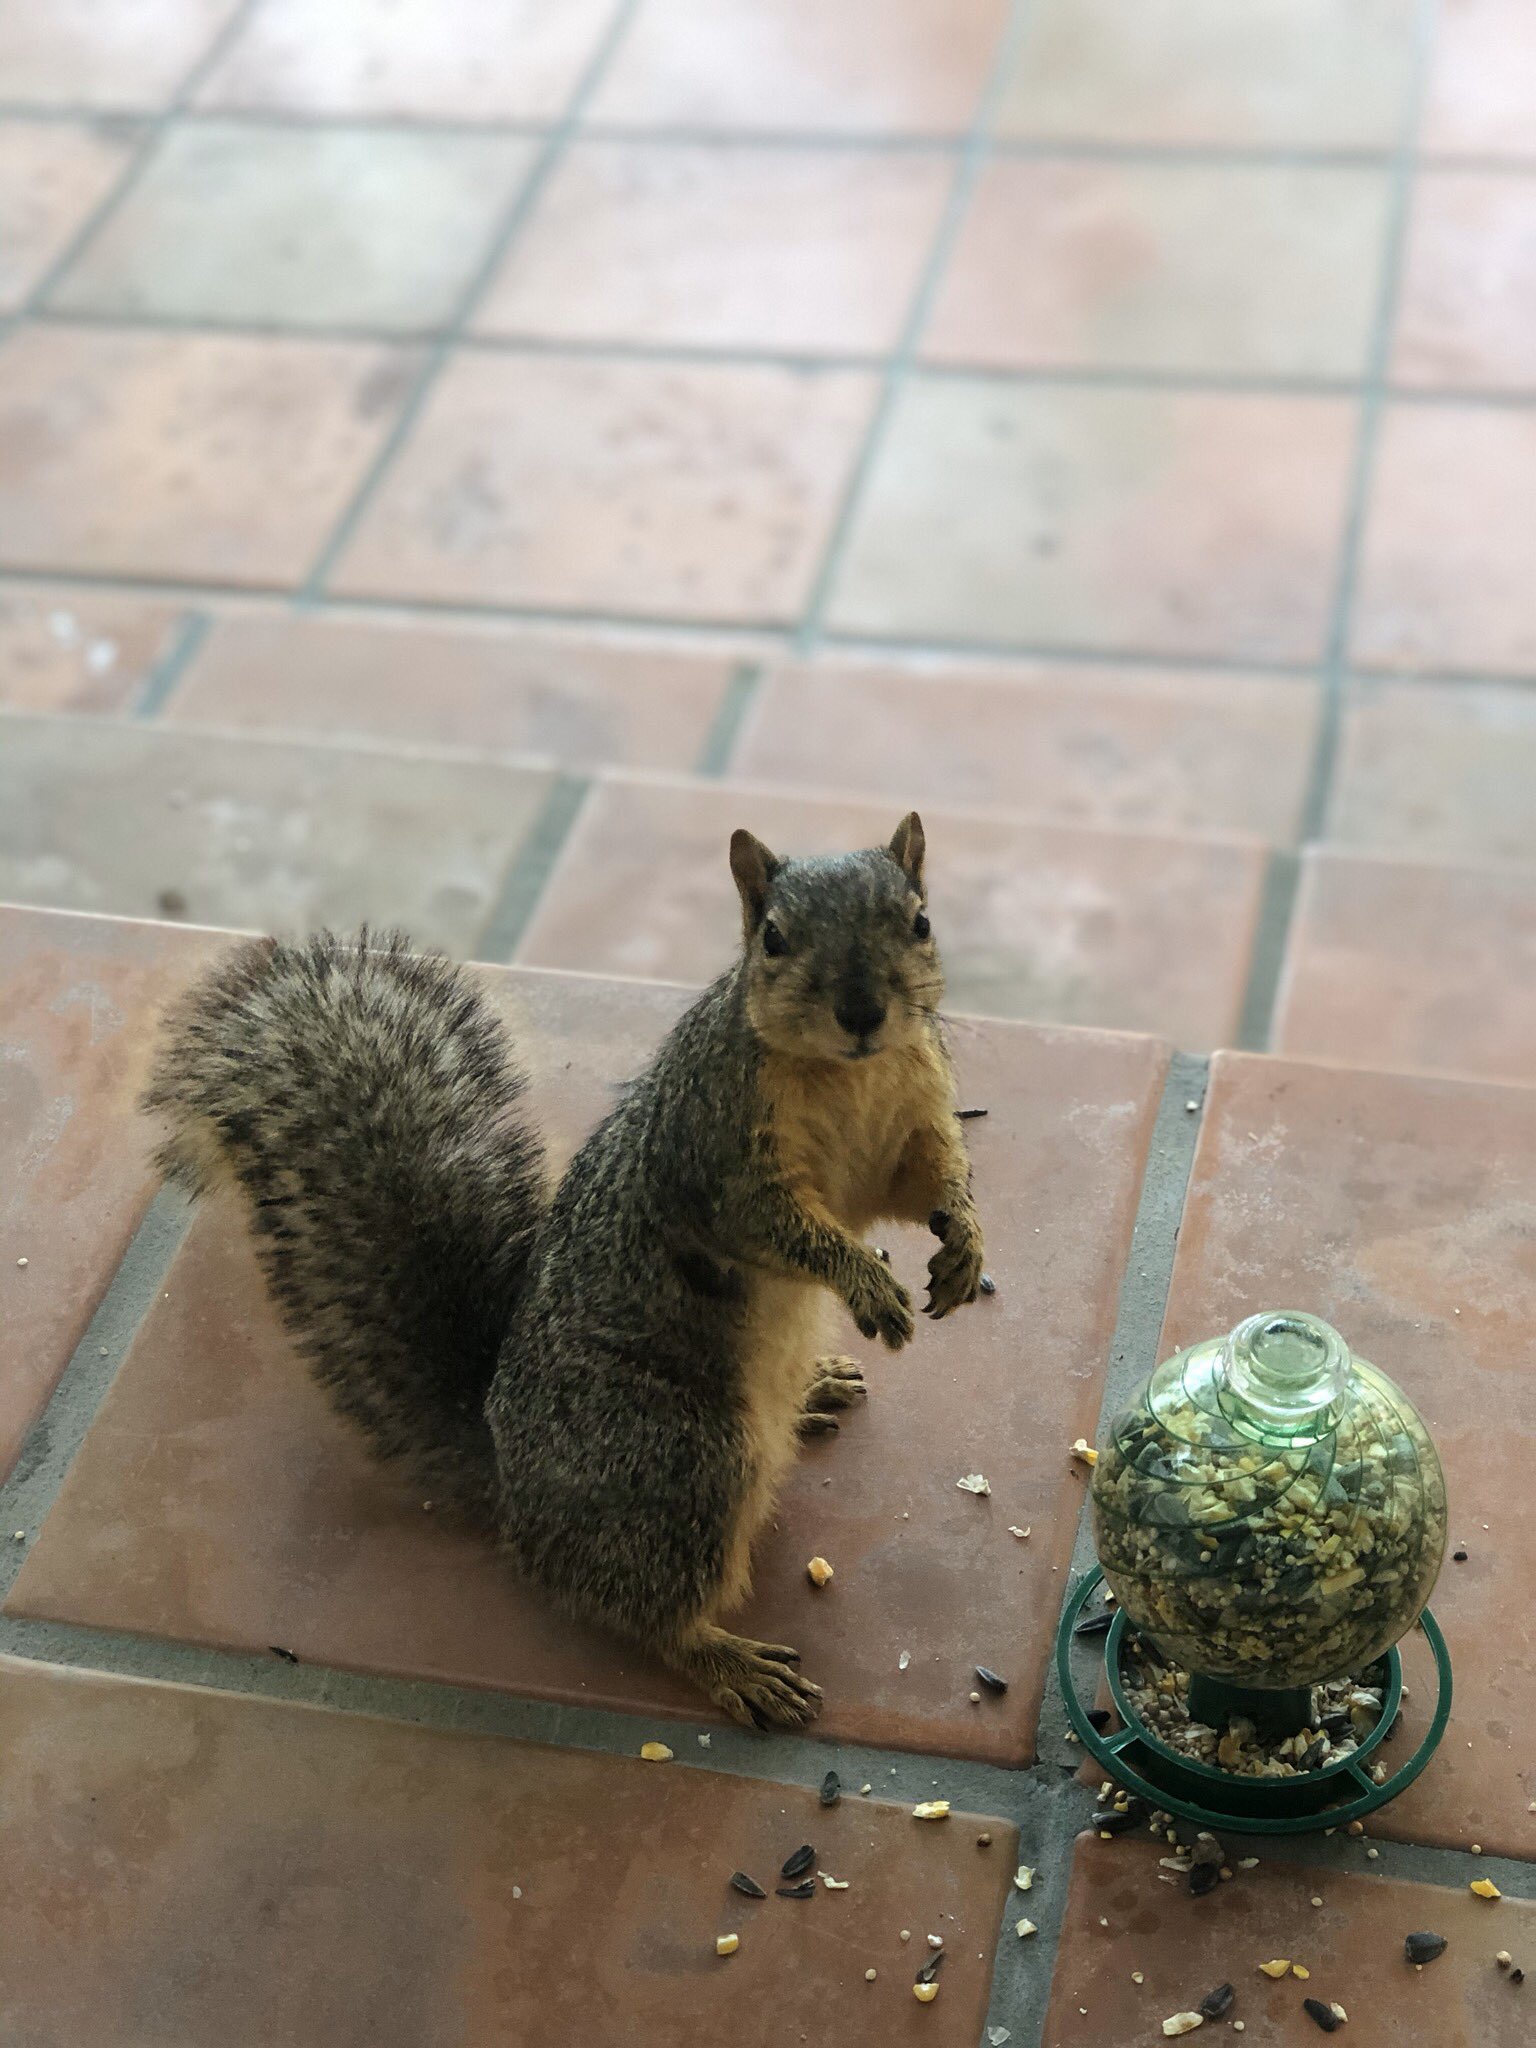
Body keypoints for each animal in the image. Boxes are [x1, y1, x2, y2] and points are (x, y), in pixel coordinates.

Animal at [142, 811, 986, 1729]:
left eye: (920, 921)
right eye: (774, 938)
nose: (862, 1012)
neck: (851, 1072)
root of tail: (513, 1494)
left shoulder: (907, 1124)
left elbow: (929, 1180)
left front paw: (966, 1244)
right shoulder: (713, 1158)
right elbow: (783, 1229)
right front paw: (867, 1283)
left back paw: (816, 1386)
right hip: (681, 1461)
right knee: (639, 1610)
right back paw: (731, 1663)